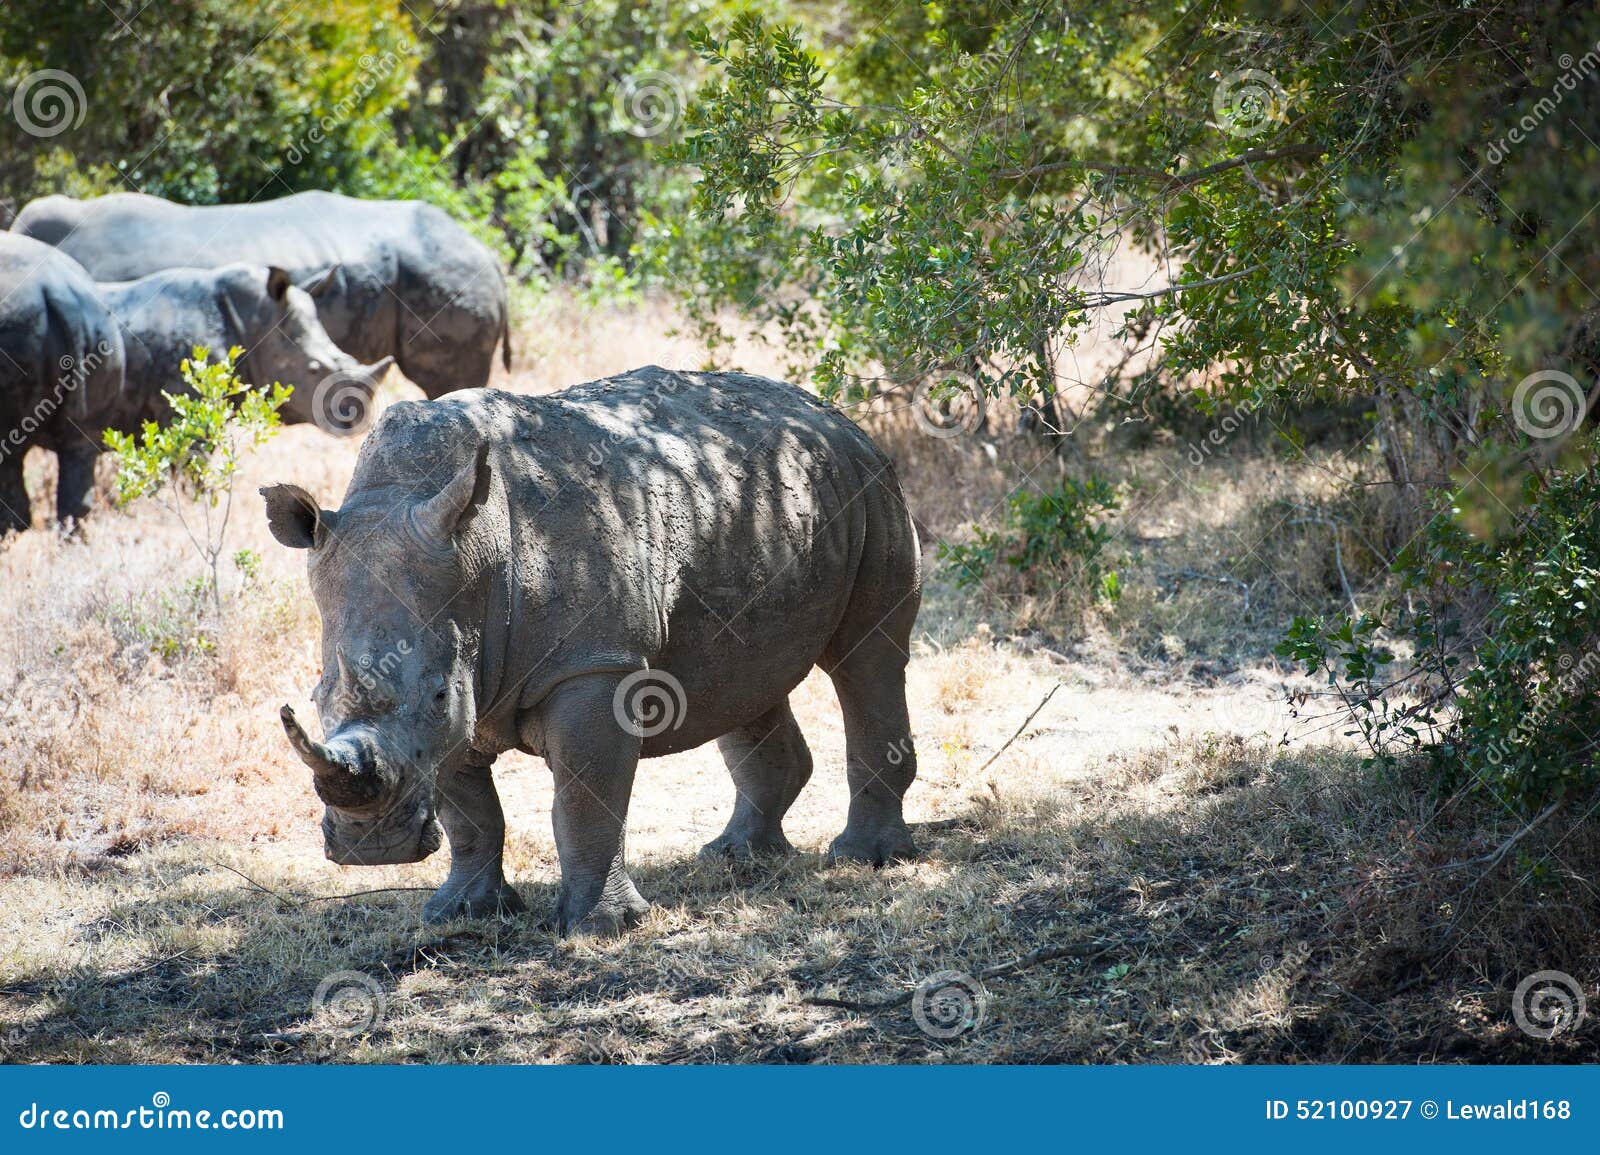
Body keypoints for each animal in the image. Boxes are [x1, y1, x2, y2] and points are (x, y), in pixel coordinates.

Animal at [261, 366, 922, 934]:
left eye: (438, 693)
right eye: (319, 697)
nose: (370, 846)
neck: (474, 552)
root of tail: (831, 413)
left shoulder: (591, 665)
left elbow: (585, 799)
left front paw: (602, 926)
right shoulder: (464, 681)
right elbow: (469, 811)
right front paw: (461, 913)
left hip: (872, 489)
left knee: (867, 658)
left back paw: (865, 858)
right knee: (748, 676)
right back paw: (735, 856)